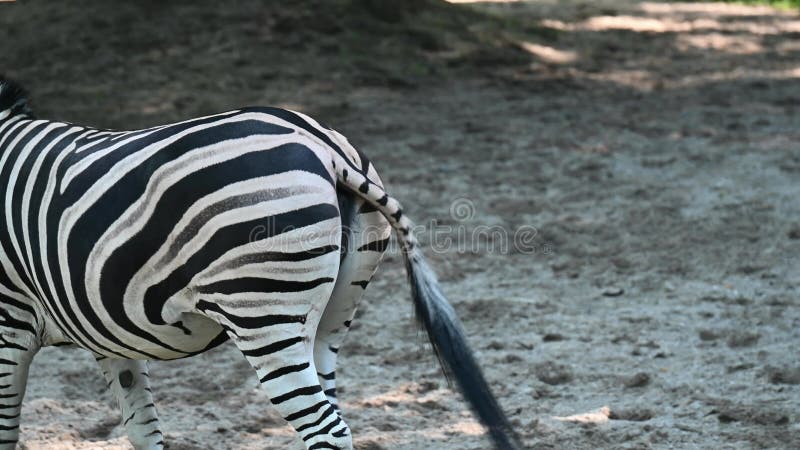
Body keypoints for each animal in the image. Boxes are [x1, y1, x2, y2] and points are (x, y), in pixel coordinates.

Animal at [0, 77, 522, 450]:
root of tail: (324, 148)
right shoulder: (105, 335)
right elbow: (142, 429)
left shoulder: (9, 323)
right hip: (332, 312)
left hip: (264, 315)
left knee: (326, 429)